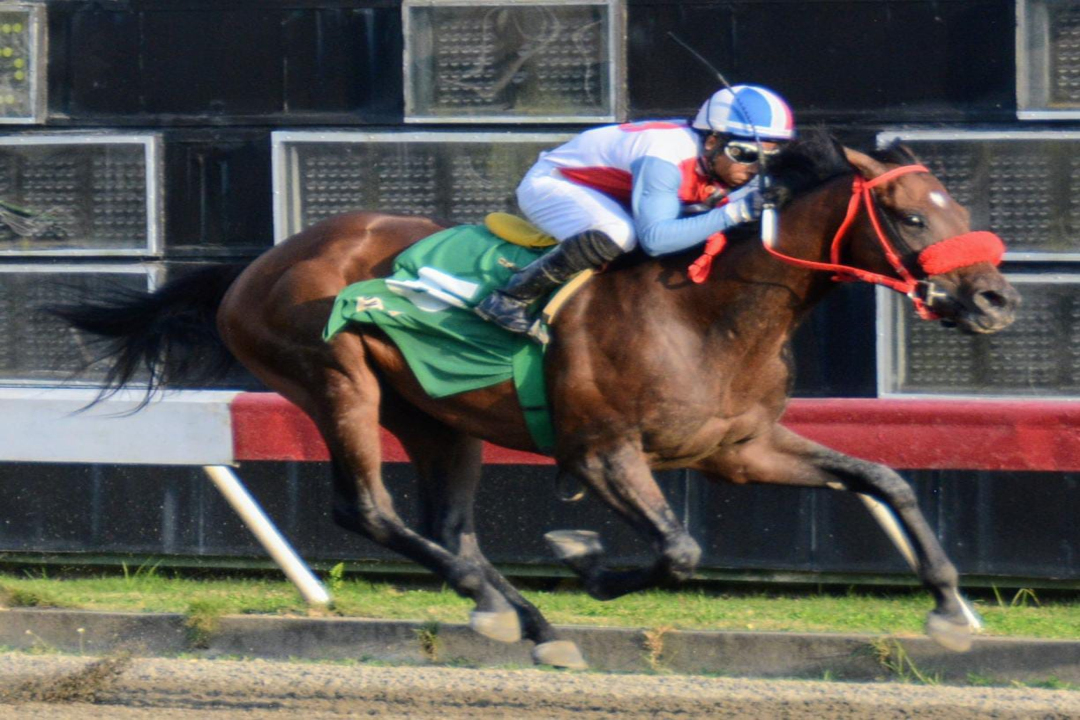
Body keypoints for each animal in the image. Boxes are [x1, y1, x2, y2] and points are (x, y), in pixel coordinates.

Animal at [52, 131, 1019, 670]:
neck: (708, 308)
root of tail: (259, 263)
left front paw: (948, 612)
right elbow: (678, 551)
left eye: (950, 202)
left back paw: (518, 615)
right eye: (911, 217)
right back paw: (501, 607)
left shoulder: (738, 449)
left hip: (436, 418)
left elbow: (885, 479)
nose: (994, 298)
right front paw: (585, 560)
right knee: (365, 509)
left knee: (448, 526)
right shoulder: (603, 450)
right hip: (336, 378)